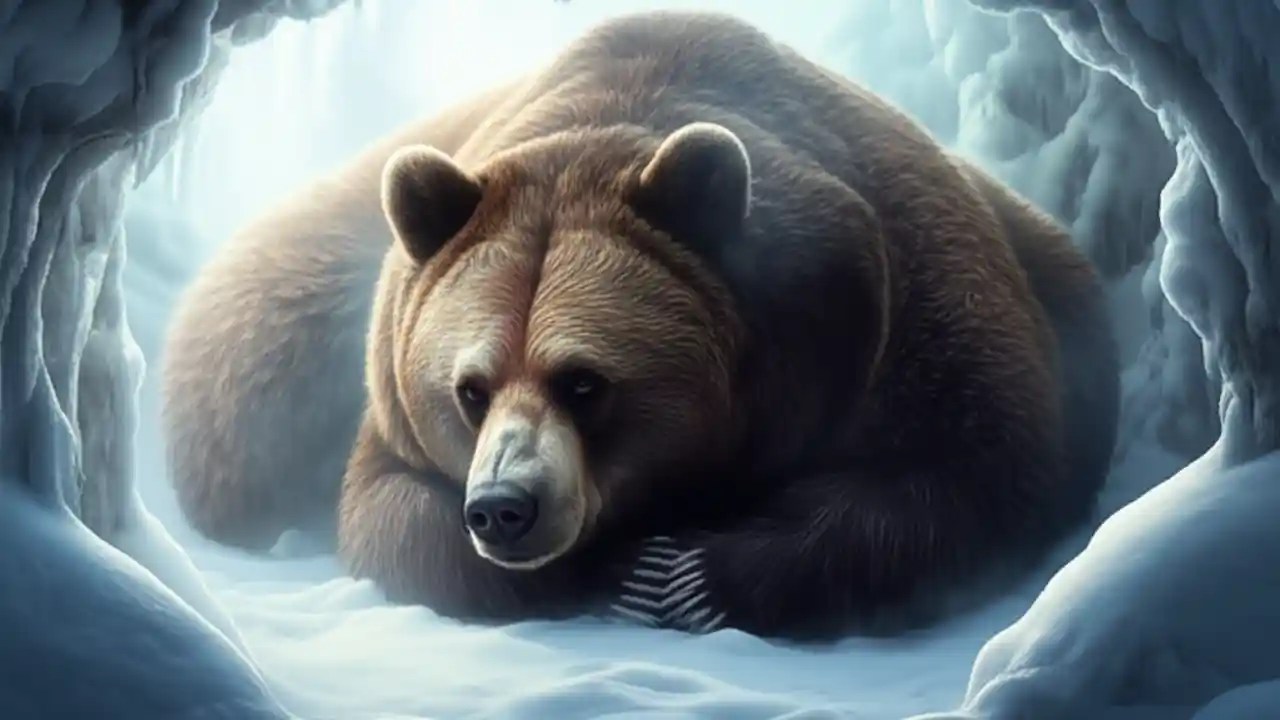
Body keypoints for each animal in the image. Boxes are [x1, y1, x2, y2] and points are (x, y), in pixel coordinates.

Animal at [162, 10, 1119, 640]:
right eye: (468, 390)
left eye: (585, 381)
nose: (504, 508)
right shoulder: (394, 389)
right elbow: (393, 513)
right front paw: (616, 569)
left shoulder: (905, 295)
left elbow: (971, 470)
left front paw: (687, 576)